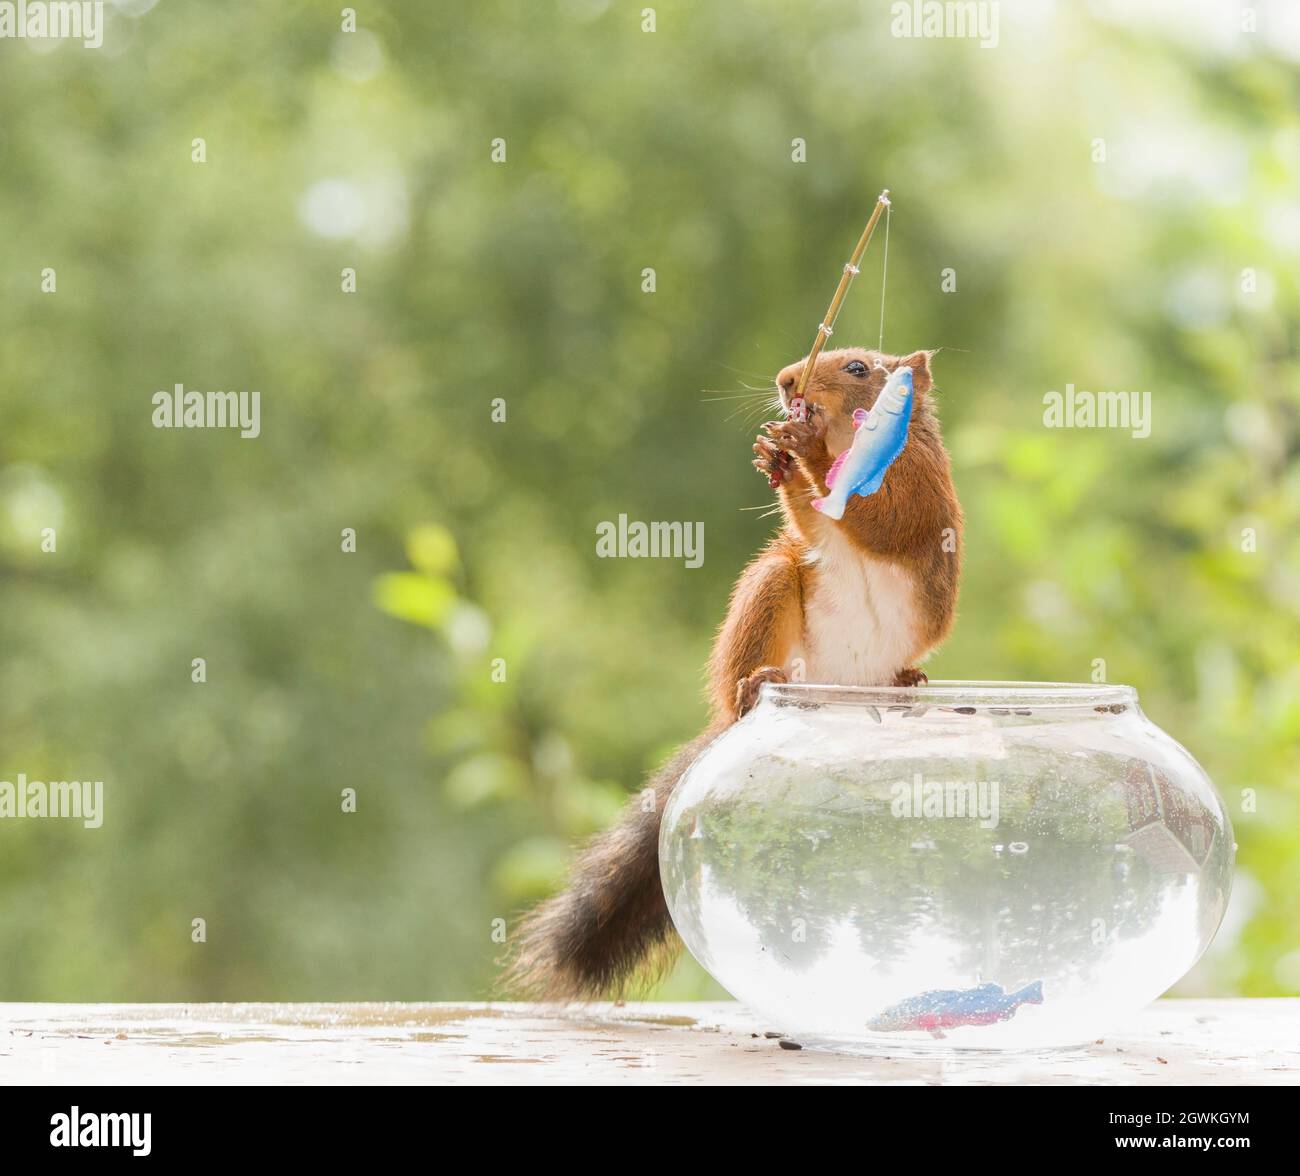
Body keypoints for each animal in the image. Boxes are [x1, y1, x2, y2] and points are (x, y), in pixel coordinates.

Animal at [502, 346, 962, 1000]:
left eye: (858, 368)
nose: (787, 381)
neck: (850, 437)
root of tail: (833, 685)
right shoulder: (812, 532)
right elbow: (814, 523)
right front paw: (778, 458)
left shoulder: (919, 483)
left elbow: (882, 517)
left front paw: (806, 450)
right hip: (772, 587)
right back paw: (754, 685)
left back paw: (902, 681)